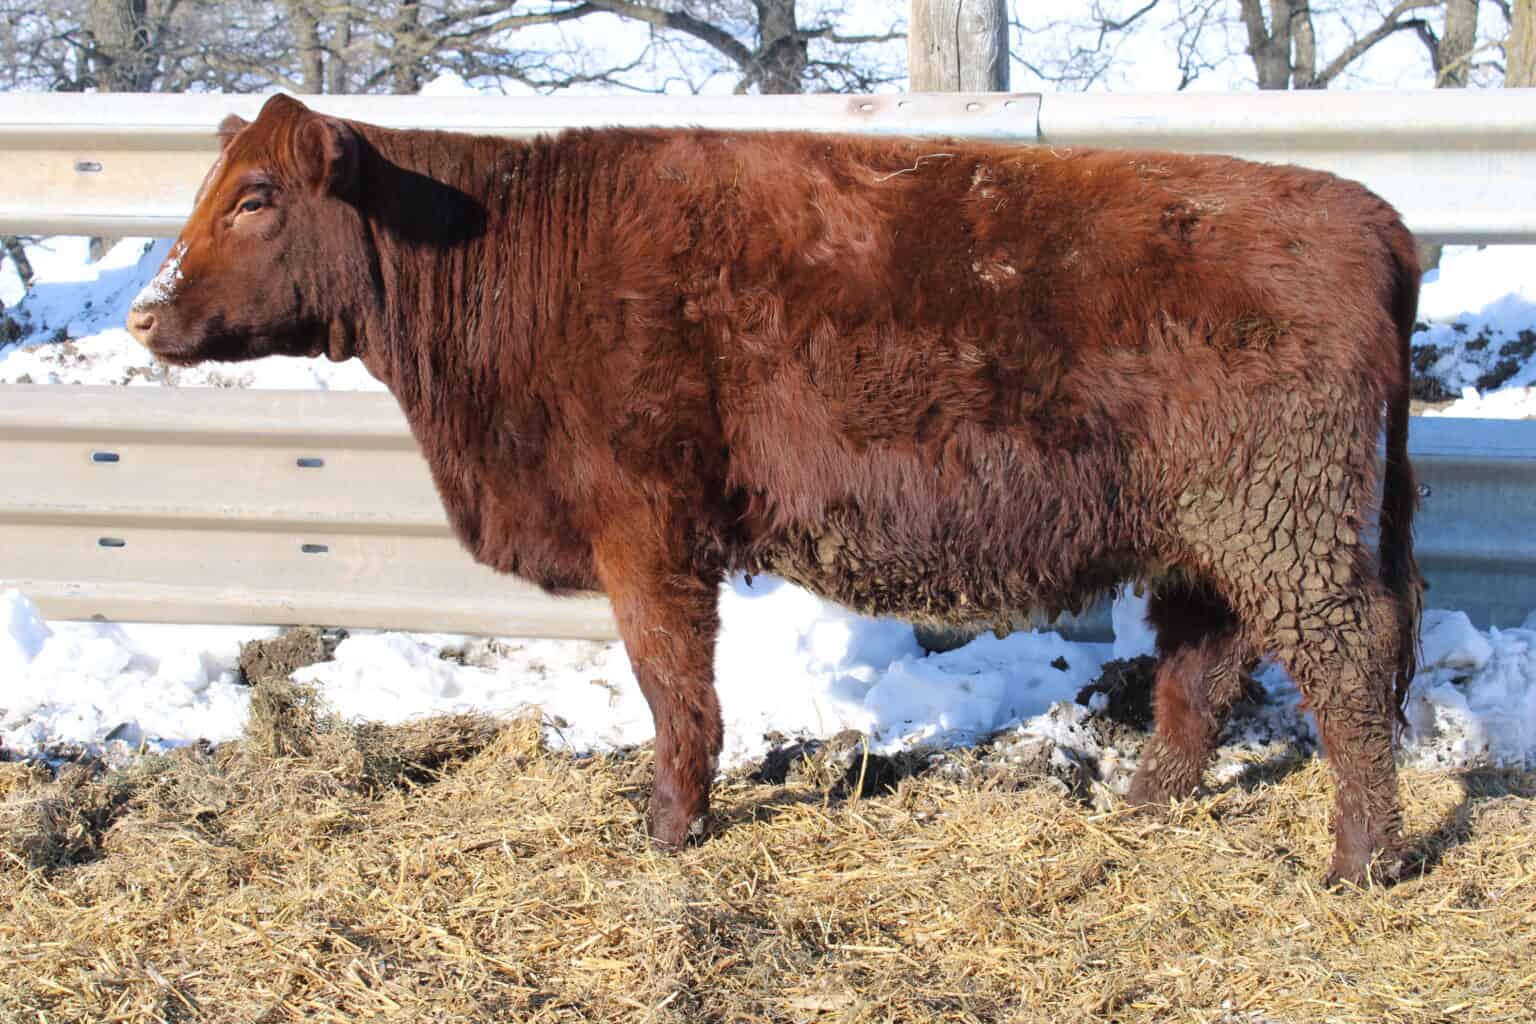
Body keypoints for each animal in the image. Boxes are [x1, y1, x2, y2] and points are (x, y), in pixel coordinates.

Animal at [127, 94, 1422, 886]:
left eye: (255, 197)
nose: (143, 311)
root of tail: (1372, 213)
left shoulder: (646, 529)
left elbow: (674, 689)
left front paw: (668, 826)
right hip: (1214, 532)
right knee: (1204, 664)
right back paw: (1149, 802)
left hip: (1284, 520)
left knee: (1350, 664)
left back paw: (1361, 859)